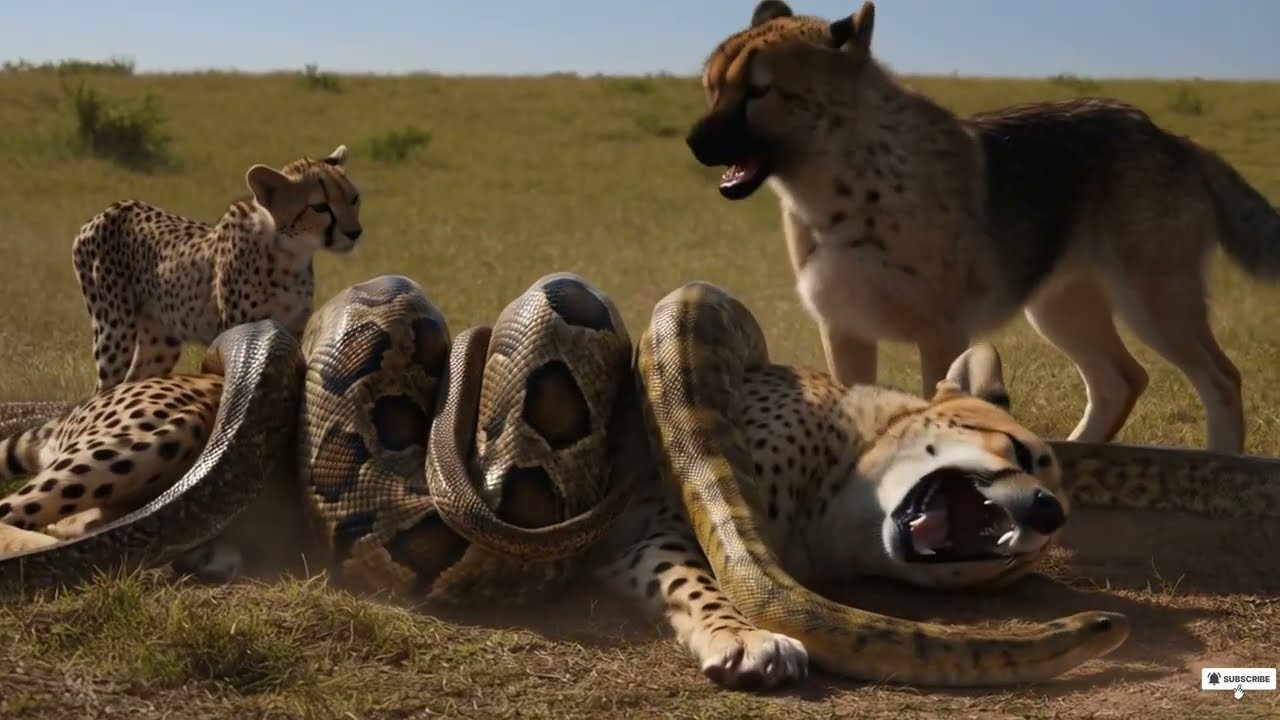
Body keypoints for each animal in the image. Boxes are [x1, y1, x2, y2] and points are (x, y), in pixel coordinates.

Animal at [70, 144, 362, 393]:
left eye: (354, 198)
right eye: (320, 206)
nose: (354, 232)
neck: (288, 254)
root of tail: (109, 210)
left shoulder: (293, 329)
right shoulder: (244, 331)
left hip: (160, 339)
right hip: (114, 331)